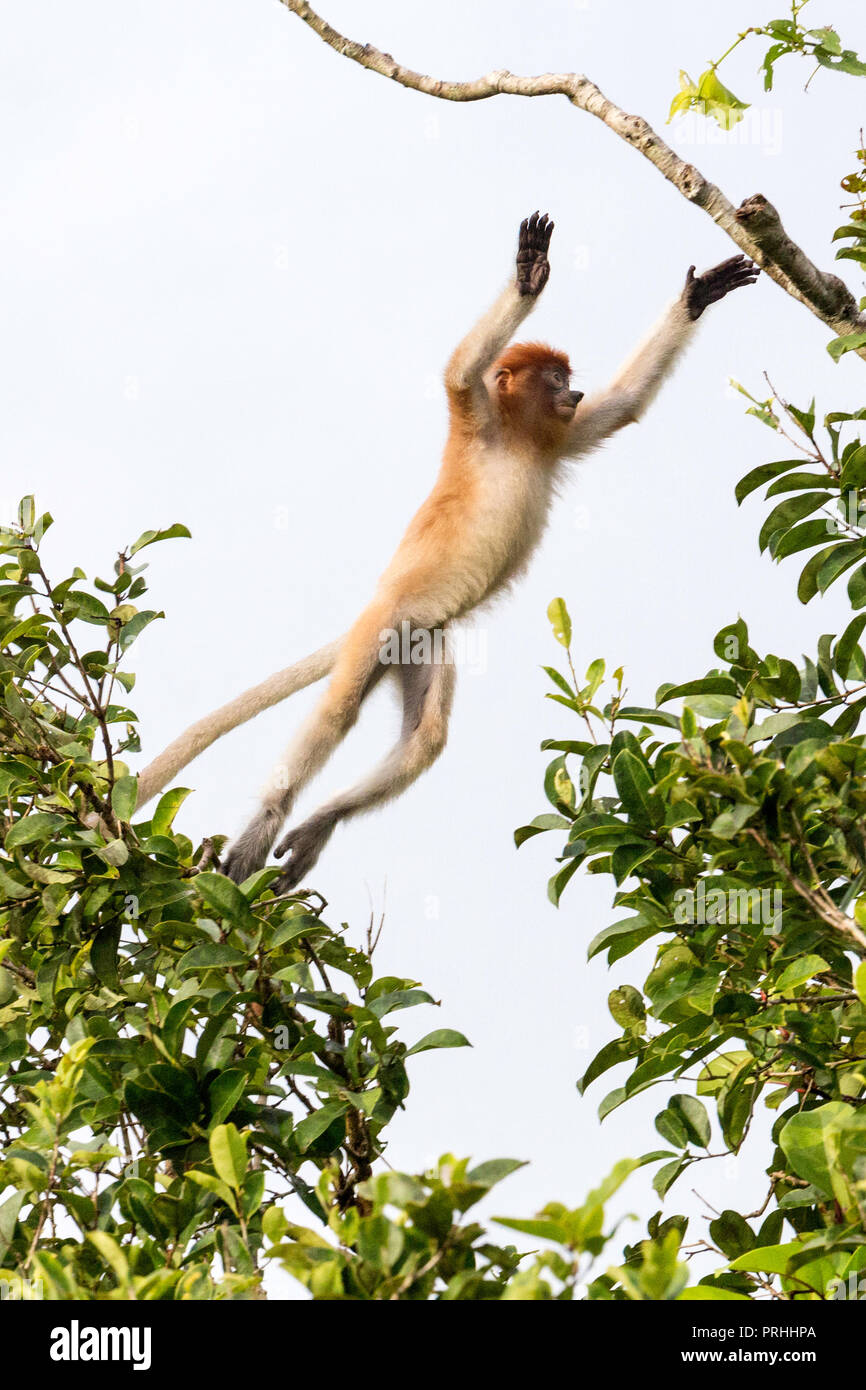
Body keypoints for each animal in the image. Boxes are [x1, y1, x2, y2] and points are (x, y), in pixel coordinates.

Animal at [135, 212, 758, 889]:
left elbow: (622, 407)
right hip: (382, 627)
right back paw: (268, 822)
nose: (573, 394)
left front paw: (699, 294)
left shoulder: (560, 437)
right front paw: (529, 271)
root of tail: (379, 612)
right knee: (336, 715)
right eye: (557, 378)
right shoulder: (477, 417)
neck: (517, 437)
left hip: (419, 643)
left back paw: (320, 825)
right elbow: (461, 371)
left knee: (423, 738)